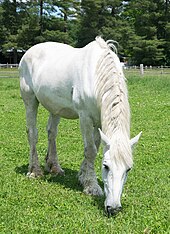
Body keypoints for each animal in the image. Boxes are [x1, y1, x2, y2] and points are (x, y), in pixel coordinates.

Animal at [19, 37, 141, 218]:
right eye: (106, 166)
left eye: (128, 169)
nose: (113, 208)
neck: (97, 74)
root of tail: (29, 51)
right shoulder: (85, 117)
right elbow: (90, 150)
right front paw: (91, 186)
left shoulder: (98, 122)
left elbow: (94, 148)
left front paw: (83, 176)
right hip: (30, 100)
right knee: (33, 134)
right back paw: (35, 171)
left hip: (55, 107)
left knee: (51, 133)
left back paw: (54, 167)